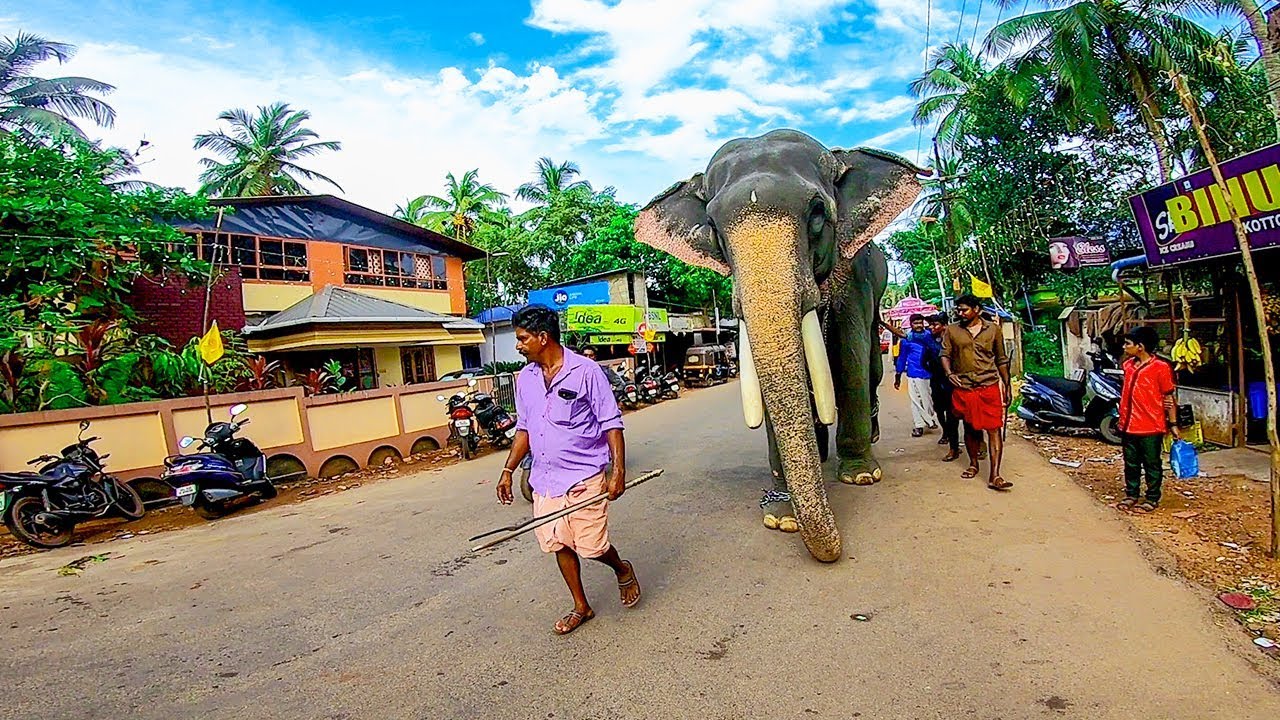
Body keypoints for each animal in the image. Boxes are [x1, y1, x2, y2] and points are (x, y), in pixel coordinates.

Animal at [634, 129, 922, 563]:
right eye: (713, 226)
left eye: (818, 212)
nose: (835, 551)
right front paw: (783, 517)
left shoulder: (853, 271)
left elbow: (847, 352)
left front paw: (860, 476)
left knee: (871, 362)